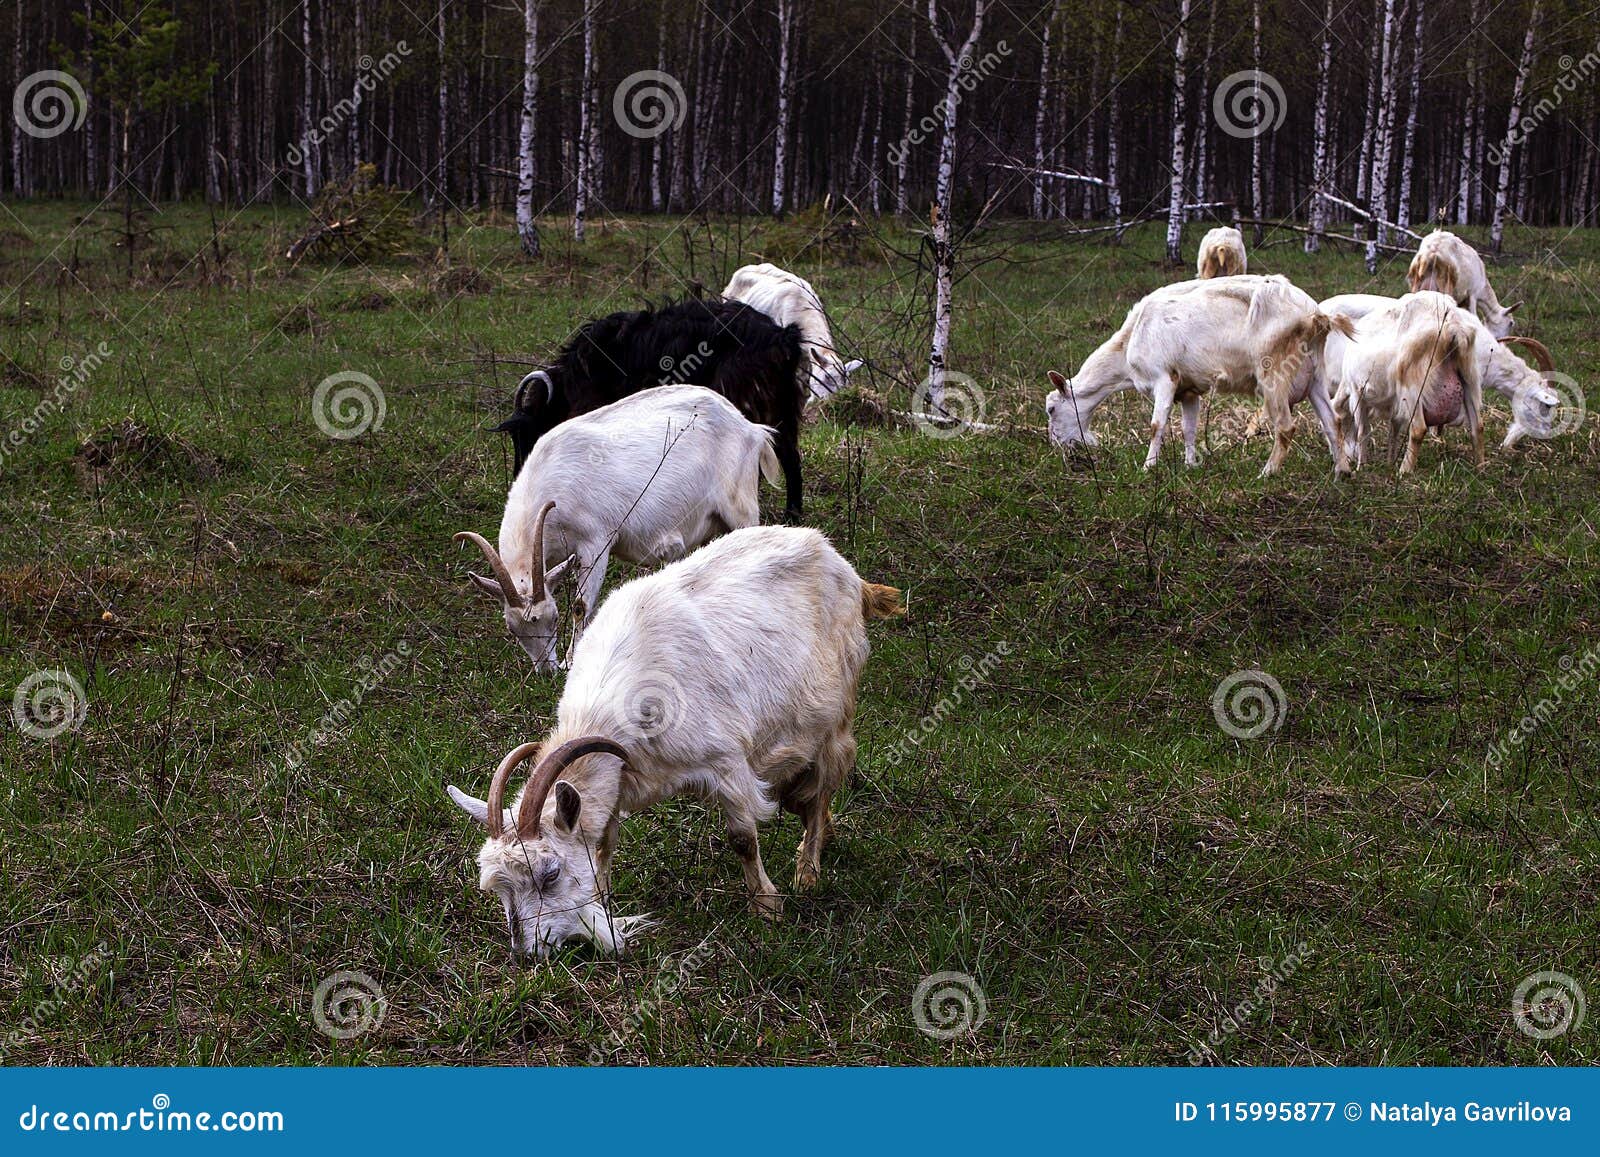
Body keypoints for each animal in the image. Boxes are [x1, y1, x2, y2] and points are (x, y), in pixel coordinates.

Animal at [446, 525, 904, 957]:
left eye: (551, 874)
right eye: (498, 888)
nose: (526, 952)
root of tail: (843, 567)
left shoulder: (726, 762)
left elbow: (742, 838)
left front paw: (767, 907)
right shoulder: (621, 778)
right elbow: (604, 843)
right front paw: (604, 896)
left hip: (835, 716)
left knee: (824, 782)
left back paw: (807, 870)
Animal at [456, 386, 781, 673]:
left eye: (553, 617)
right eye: (513, 630)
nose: (545, 670)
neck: (551, 479)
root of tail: (750, 427)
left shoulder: (596, 542)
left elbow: (581, 605)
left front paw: (571, 662)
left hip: (740, 508)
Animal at [498, 297, 807, 518]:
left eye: (526, 436)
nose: (517, 485)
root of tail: (784, 337)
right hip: (782, 406)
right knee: (790, 457)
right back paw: (792, 515)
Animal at [1044, 275, 1353, 476]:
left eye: (1051, 409)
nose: (1060, 448)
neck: (1128, 344)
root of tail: (1316, 315)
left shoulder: (1164, 378)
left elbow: (1156, 424)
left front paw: (1148, 466)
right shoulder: (1189, 390)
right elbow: (1188, 428)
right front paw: (1190, 464)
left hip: (1274, 373)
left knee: (1286, 427)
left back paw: (1268, 472)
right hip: (1314, 375)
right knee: (1332, 420)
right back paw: (1342, 471)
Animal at [1325, 291, 1484, 474]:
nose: (1340, 455)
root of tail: (1453, 326)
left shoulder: (1358, 392)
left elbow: (1363, 431)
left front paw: (1361, 466)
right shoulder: (1395, 404)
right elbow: (1393, 431)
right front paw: (1389, 463)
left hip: (1413, 386)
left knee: (1418, 429)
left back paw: (1405, 471)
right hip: (1469, 377)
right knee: (1477, 426)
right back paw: (1480, 469)